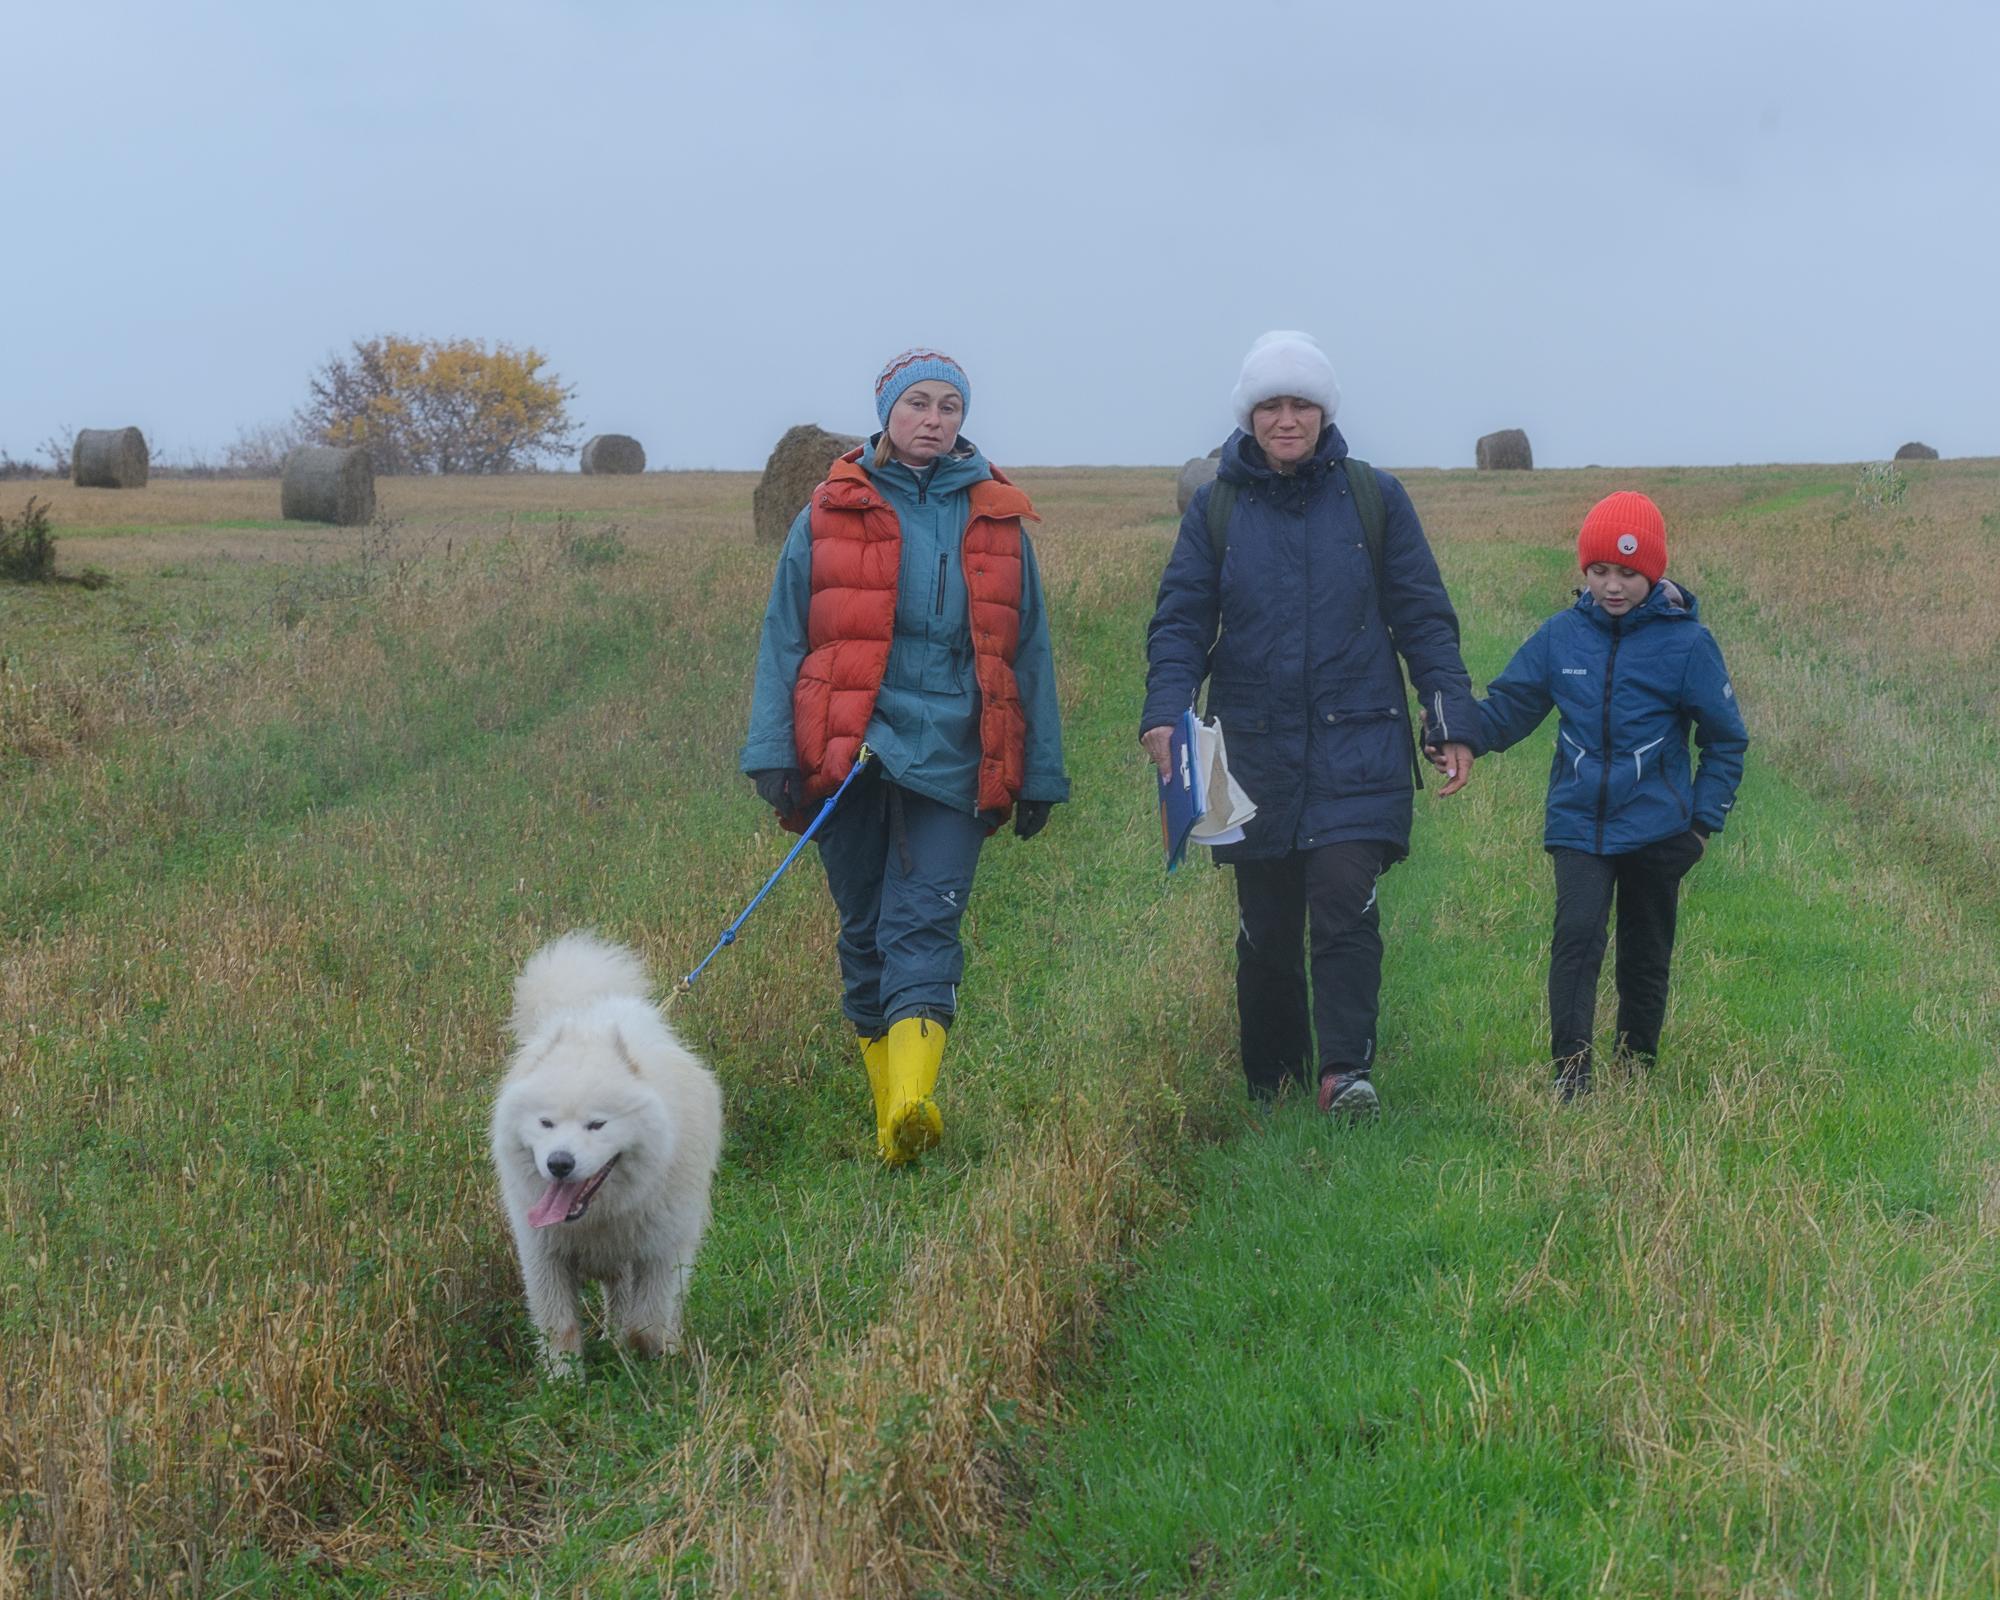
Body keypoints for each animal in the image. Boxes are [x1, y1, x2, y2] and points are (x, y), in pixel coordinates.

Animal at [490, 936, 724, 1376]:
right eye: (546, 1123)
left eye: (597, 1124)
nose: (559, 1163)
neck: (601, 1216)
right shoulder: (544, 1256)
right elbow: (559, 1328)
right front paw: (564, 1383)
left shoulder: (660, 1251)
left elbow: (646, 1322)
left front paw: (648, 1363)